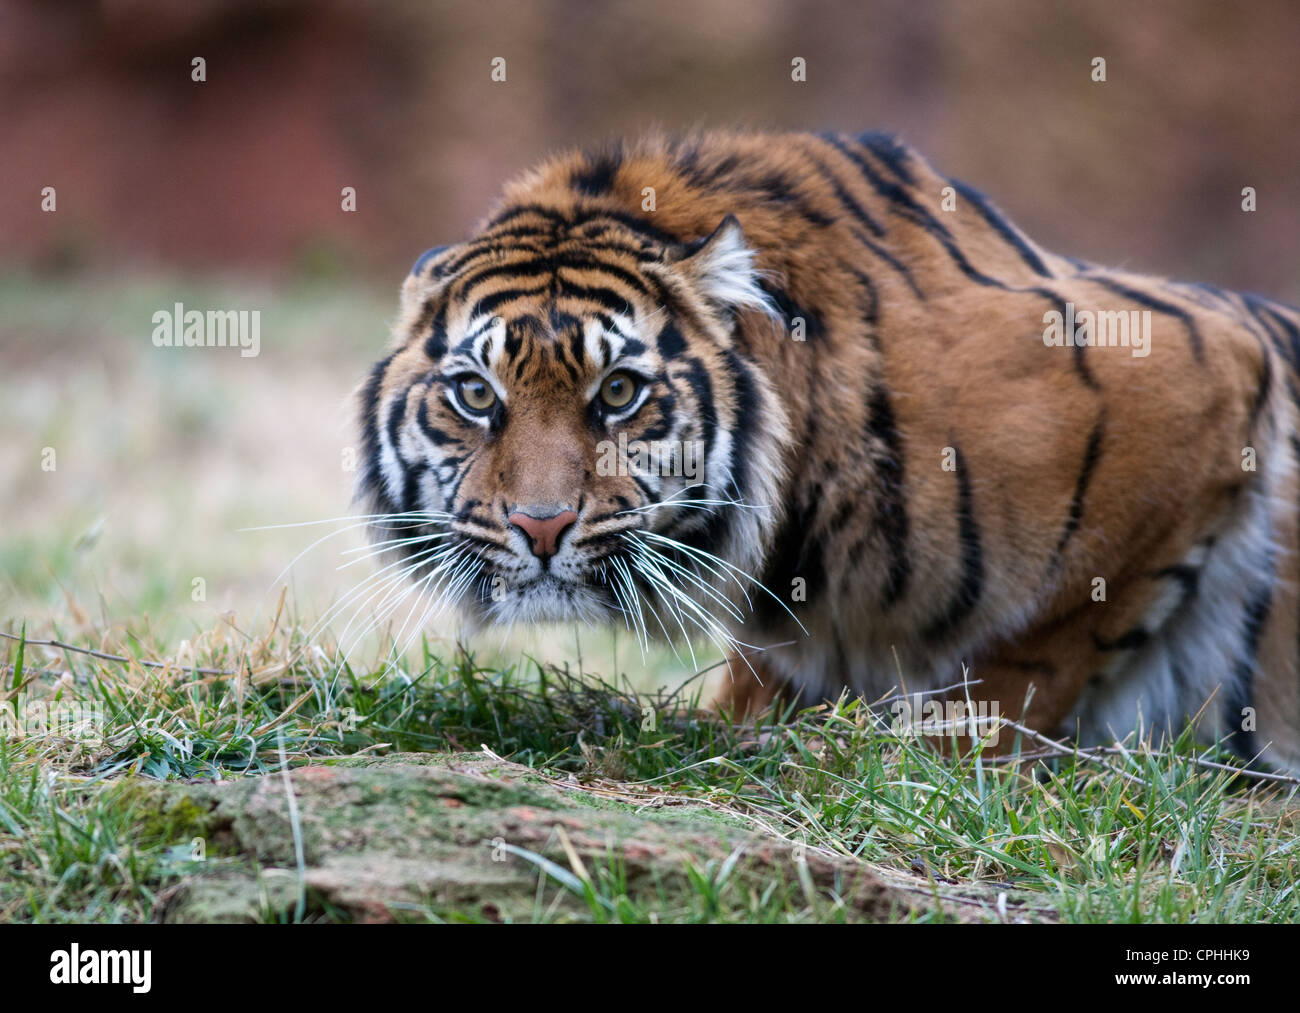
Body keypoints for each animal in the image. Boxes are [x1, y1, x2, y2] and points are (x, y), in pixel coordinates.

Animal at [355, 130, 1300, 773]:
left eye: (618, 392)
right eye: (478, 394)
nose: (541, 526)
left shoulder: (1197, 386)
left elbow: (1036, 651)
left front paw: (939, 753)